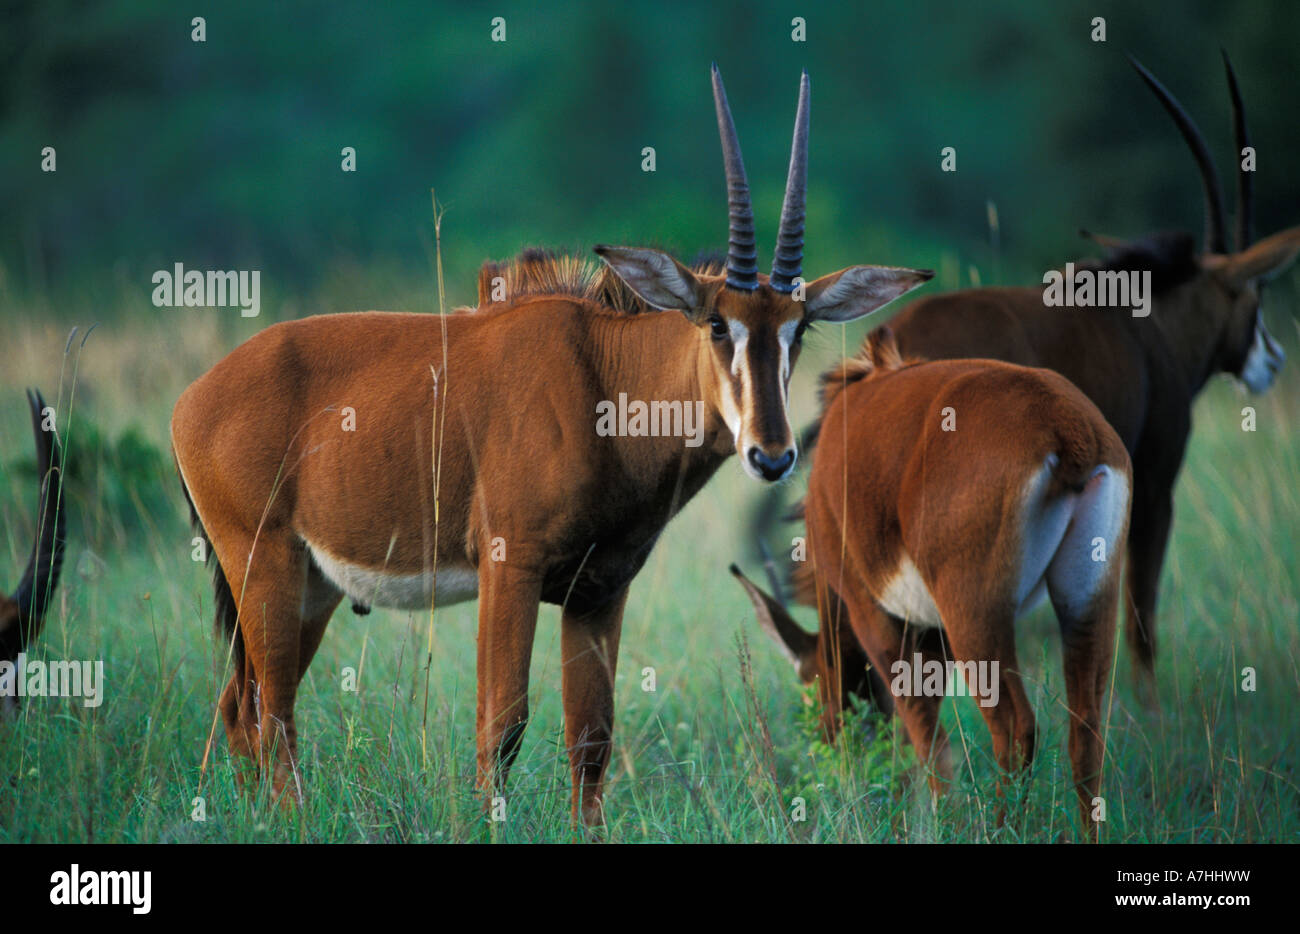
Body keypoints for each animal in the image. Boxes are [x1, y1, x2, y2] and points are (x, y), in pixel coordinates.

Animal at [170, 66, 931, 826]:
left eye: (800, 329)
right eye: (718, 324)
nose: (771, 457)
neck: (606, 382)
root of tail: (191, 399)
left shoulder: (600, 588)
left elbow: (591, 736)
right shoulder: (511, 565)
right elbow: (501, 724)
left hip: (313, 587)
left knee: (240, 705)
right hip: (263, 563)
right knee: (273, 710)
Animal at [733, 327, 1131, 836]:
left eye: (810, 687)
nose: (832, 748)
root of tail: (1066, 425)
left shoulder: (872, 613)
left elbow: (923, 733)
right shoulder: (931, 633)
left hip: (974, 615)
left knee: (1015, 728)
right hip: (1088, 598)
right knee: (1086, 730)